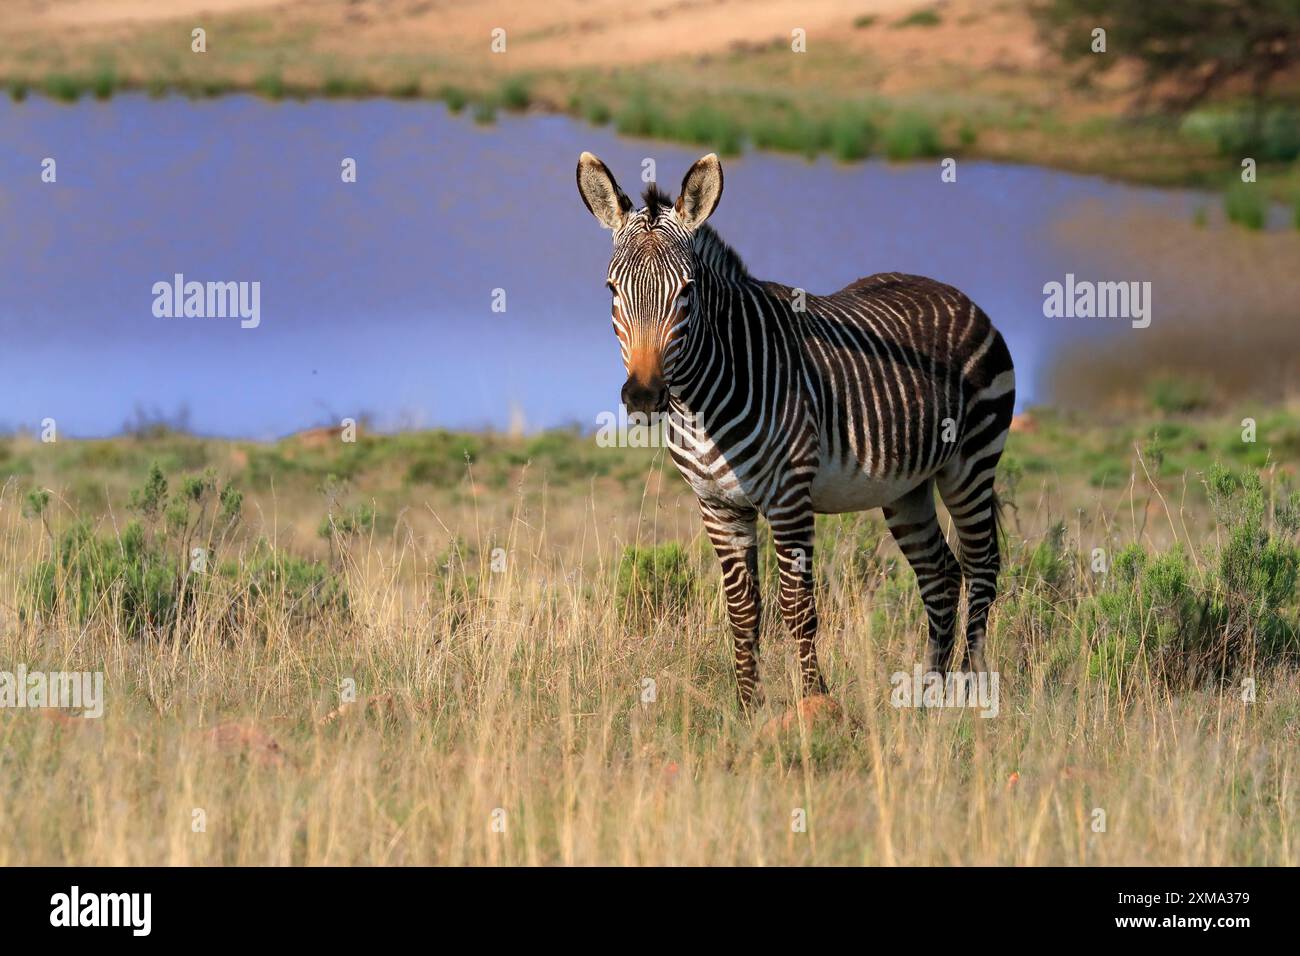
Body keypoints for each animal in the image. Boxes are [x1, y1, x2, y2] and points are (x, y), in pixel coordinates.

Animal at [577, 151, 1016, 710]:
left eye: (688, 292)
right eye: (612, 290)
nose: (642, 397)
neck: (702, 406)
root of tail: (957, 293)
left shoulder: (789, 497)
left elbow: (797, 607)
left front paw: (814, 703)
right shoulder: (717, 505)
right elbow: (743, 611)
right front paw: (748, 707)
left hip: (971, 463)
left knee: (981, 566)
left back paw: (969, 690)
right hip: (907, 487)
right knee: (940, 574)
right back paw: (928, 698)